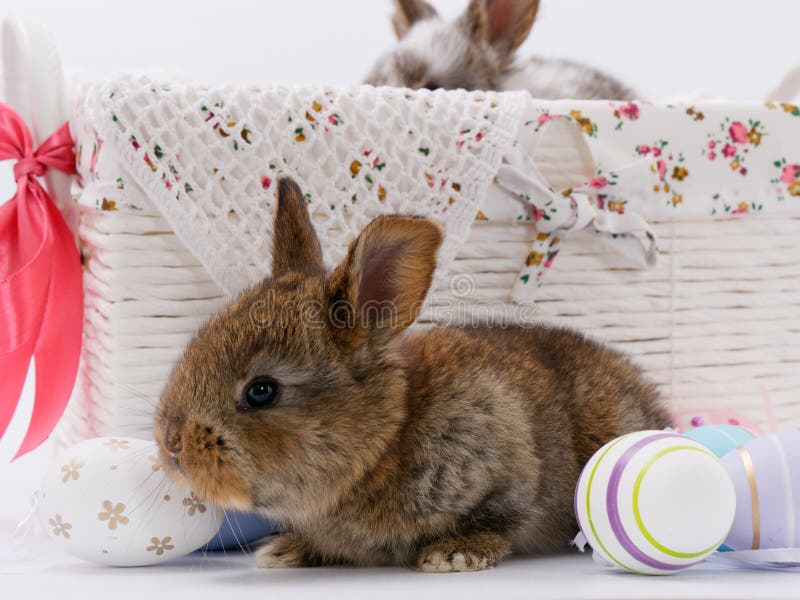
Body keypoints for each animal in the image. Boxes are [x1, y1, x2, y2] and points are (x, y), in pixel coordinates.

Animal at [155, 177, 670, 572]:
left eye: (262, 391)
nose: (172, 446)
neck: (384, 441)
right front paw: (284, 552)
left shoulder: (505, 469)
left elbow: (504, 516)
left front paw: (454, 555)